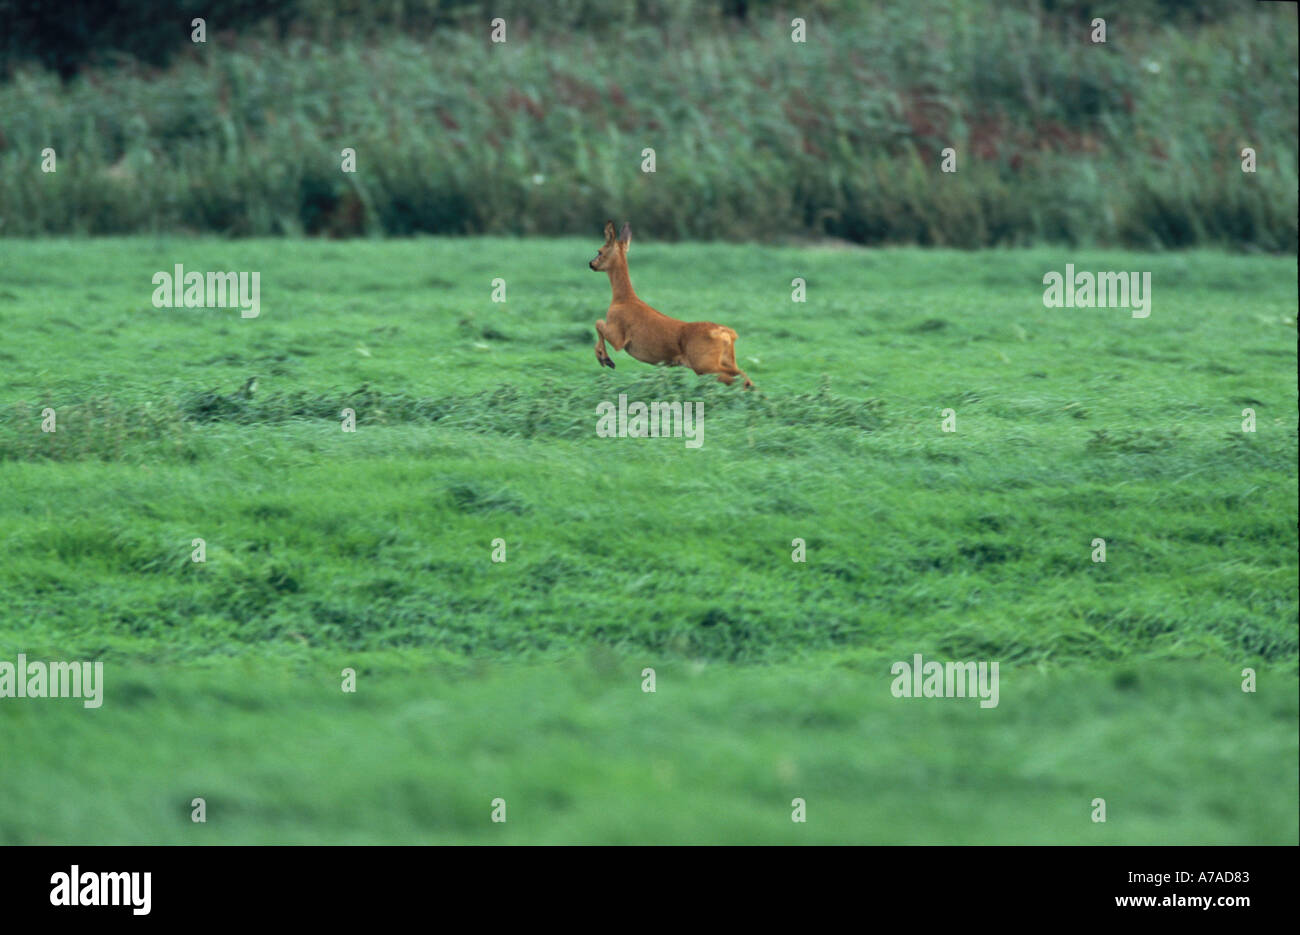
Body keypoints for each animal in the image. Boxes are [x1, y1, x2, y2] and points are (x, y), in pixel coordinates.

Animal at [590, 221, 753, 388]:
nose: (591, 264)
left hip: (703, 364)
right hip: (725, 360)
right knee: (742, 375)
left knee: (737, 377)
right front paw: (605, 359)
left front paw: (605, 358)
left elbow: (598, 322)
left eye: (599, 251)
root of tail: (726, 333)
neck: (622, 299)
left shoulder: (618, 336)